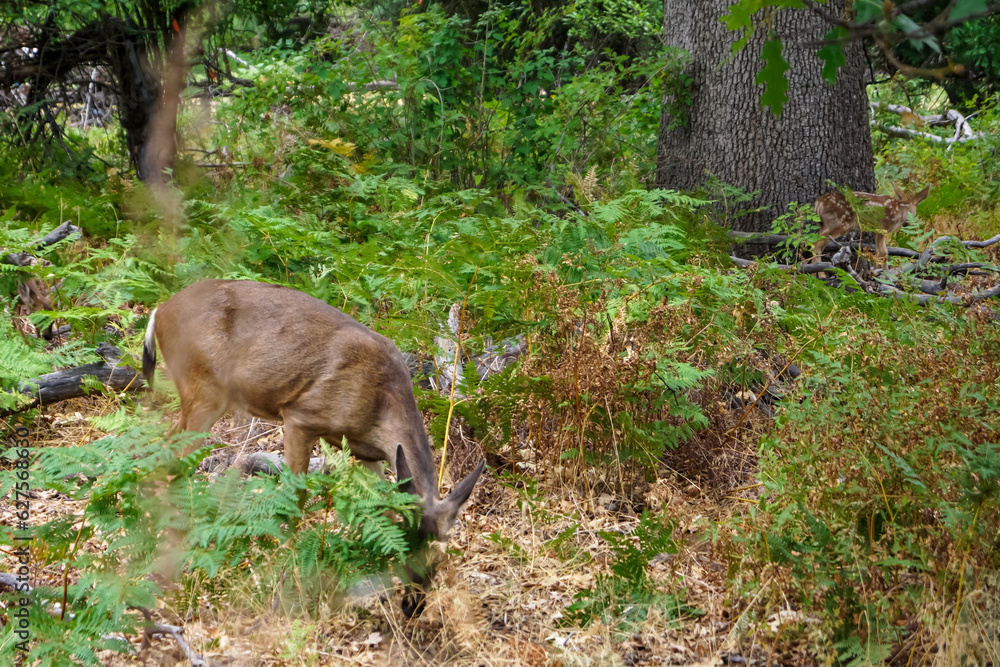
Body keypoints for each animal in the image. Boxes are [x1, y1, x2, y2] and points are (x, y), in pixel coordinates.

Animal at [142, 279, 485, 617]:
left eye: (440, 557)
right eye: (407, 545)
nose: (413, 607)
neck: (379, 404)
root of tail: (160, 311)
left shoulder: (365, 454)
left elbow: (377, 508)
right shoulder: (300, 417)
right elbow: (296, 497)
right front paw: (289, 570)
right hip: (203, 390)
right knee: (172, 460)